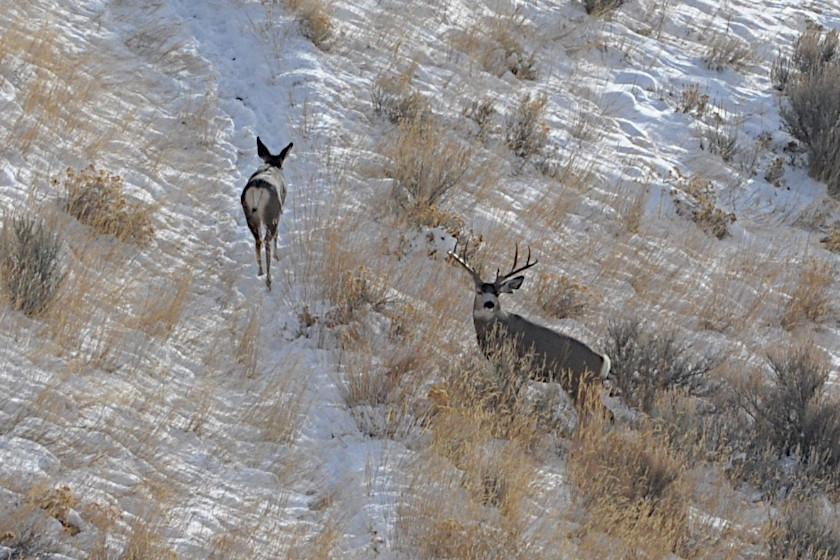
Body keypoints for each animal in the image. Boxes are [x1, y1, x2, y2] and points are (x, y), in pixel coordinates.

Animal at [241, 137, 293, 290]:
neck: (272, 164)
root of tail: (258, 189)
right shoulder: (279, 212)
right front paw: (277, 256)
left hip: (251, 216)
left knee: (258, 240)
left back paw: (260, 272)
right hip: (271, 215)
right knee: (268, 240)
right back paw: (269, 281)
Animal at [448, 242, 611, 411]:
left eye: (497, 293)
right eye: (479, 291)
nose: (489, 304)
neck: (497, 326)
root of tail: (603, 361)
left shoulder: (512, 363)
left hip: (580, 384)